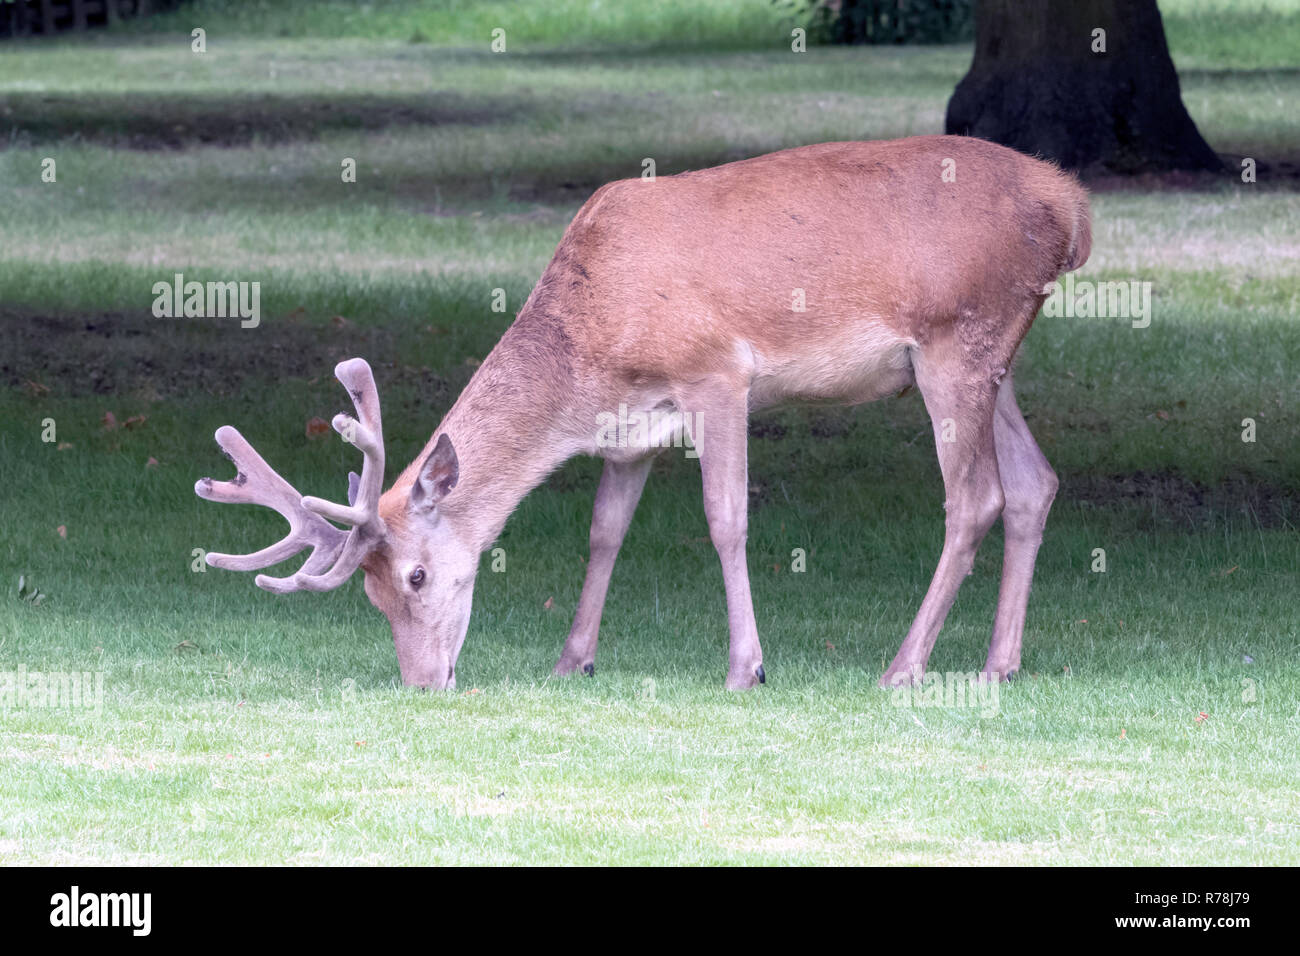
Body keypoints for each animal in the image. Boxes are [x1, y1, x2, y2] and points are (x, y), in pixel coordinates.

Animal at [196, 135, 1090, 692]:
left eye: (415, 575)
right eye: (373, 596)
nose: (423, 682)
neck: (595, 347)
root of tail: (1072, 206)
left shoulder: (718, 373)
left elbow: (726, 520)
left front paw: (746, 668)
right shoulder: (632, 427)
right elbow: (604, 531)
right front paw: (573, 661)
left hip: (955, 337)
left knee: (974, 497)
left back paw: (903, 667)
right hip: (989, 359)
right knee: (1036, 483)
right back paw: (999, 664)